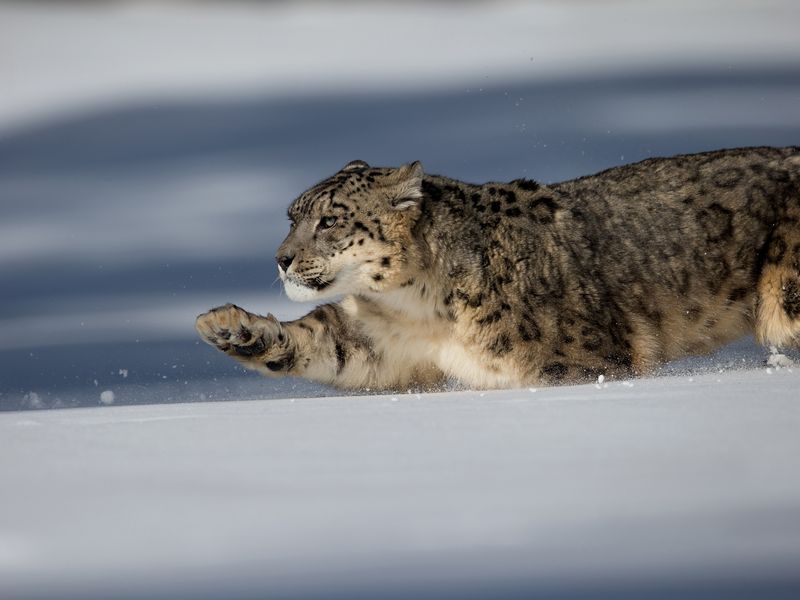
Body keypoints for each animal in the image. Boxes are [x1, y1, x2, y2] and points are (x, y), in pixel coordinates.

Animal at [196, 147, 800, 390]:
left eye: (329, 220)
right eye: (292, 217)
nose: (282, 258)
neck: (419, 308)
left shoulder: (580, 362)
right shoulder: (380, 344)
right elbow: (319, 342)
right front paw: (228, 326)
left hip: (786, 295)